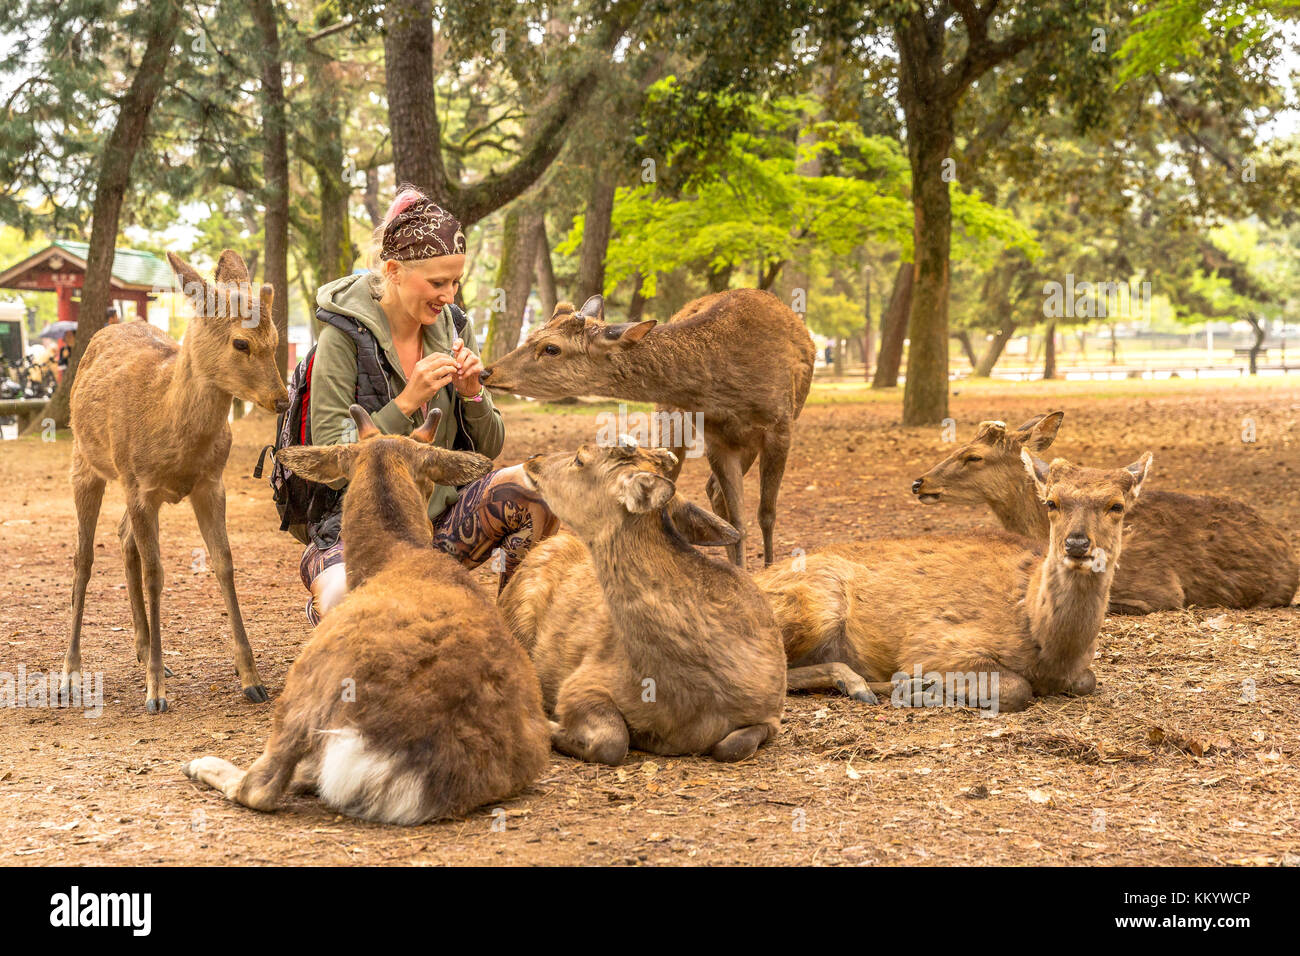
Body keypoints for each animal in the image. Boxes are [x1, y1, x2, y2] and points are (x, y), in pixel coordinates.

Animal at [65, 250, 288, 713]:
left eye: (275, 340)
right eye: (241, 343)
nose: (282, 399)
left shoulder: (211, 483)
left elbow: (224, 563)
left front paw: (252, 680)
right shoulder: (139, 485)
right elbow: (156, 573)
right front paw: (155, 694)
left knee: (123, 537)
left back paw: (145, 650)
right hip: (86, 460)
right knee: (83, 557)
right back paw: (73, 672)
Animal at [479, 289, 816, 569]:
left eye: (551, 348)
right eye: (531, 334)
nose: (486, 371)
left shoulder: (779, 426)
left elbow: (766, 514)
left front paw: (768, 570)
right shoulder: (717, 438)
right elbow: (739, 521)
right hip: (671, 416)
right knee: (701, 488)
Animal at [498, 441, 787, 764]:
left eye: (580, 458)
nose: (532, 459)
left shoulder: (772, 710)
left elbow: (732, 746)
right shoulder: (581, 681)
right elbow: (613, 740)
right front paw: (553, 727)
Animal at [757, 451, 1154, 712]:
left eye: (1117, 506)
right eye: (1051, 502)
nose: (1077, 543)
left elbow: (1088, 680)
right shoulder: (933, 643)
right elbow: (1017, 687)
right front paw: (921, 687)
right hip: (816, 606)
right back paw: (870, 685)